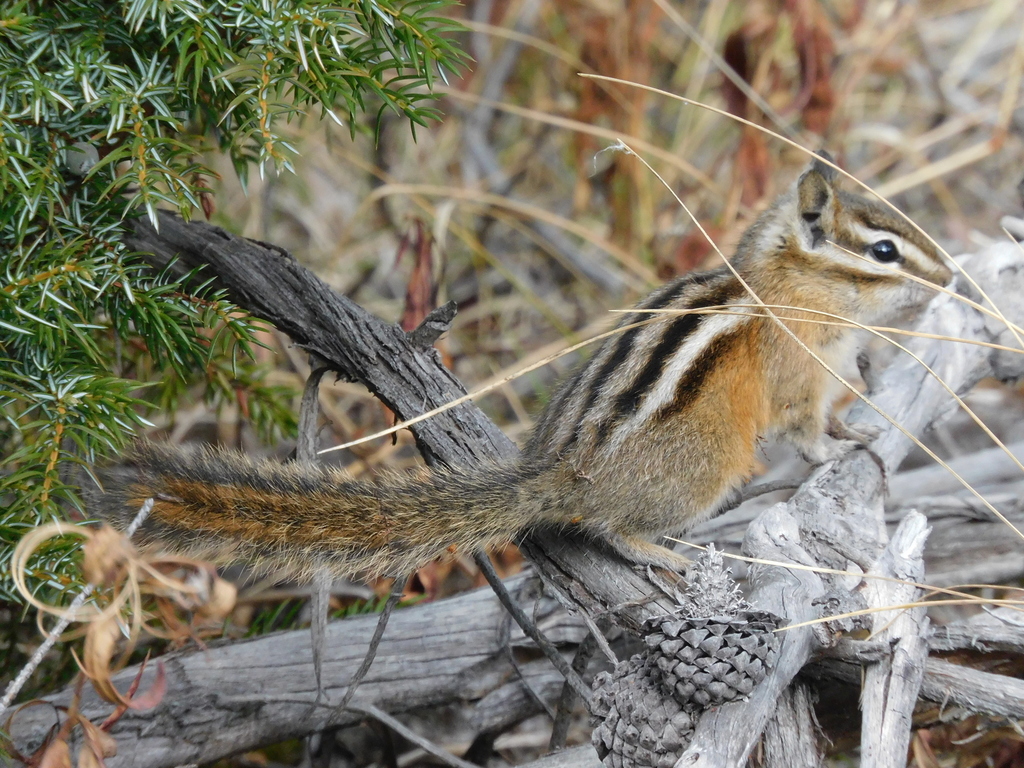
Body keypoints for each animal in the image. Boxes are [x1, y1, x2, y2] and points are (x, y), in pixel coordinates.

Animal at [92, 157, 952, 579]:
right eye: (884, 251)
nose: (949, 278)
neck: (790, 285)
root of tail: (560, 473)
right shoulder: (799, 371)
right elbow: (806, 430)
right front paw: (843, 447)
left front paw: (861, 424)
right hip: (704, 471)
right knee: (615, 531)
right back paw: (663, 552)